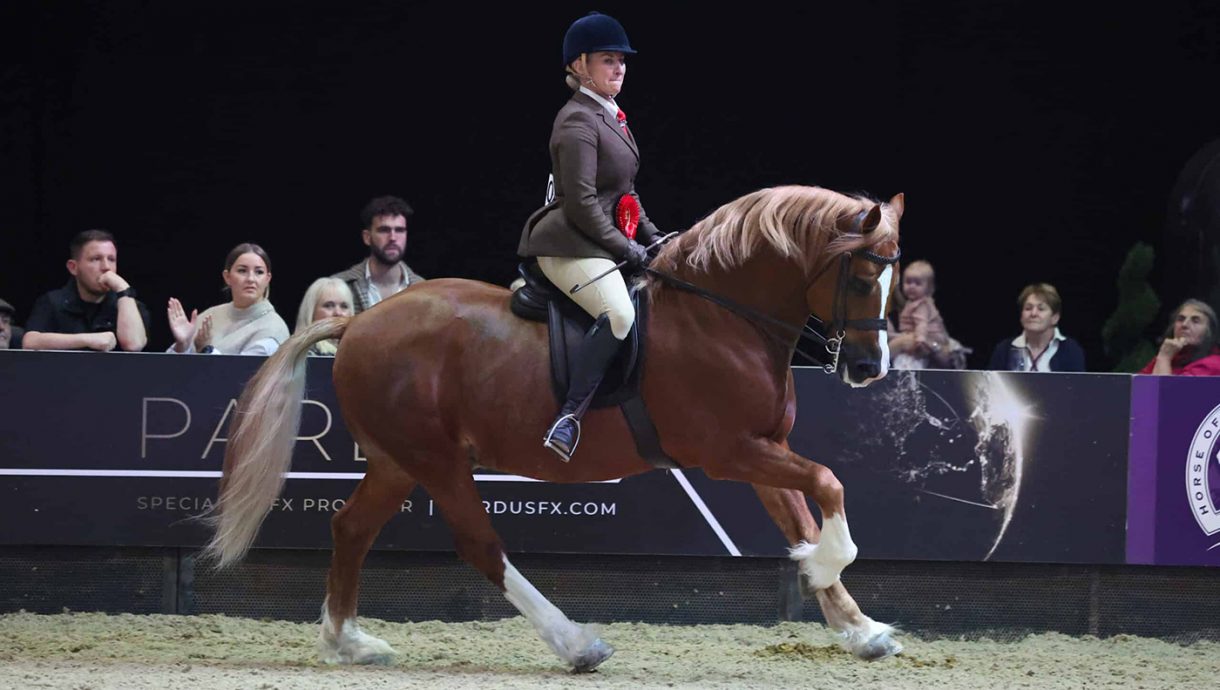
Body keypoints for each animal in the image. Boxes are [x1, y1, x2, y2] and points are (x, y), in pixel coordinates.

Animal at [203, 185, 905, 671]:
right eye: (864, 278)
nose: (869, 369)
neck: (720, 316)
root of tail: (357, 324)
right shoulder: (730, 451)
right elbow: (830, 484)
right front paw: (824, 566)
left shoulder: (765, 448)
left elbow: (803, 515)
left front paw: (858, 626)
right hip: (435, 459)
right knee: (479, 546)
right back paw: (575, 645)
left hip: (399, 461)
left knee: (351, 529)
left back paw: (347, 642)